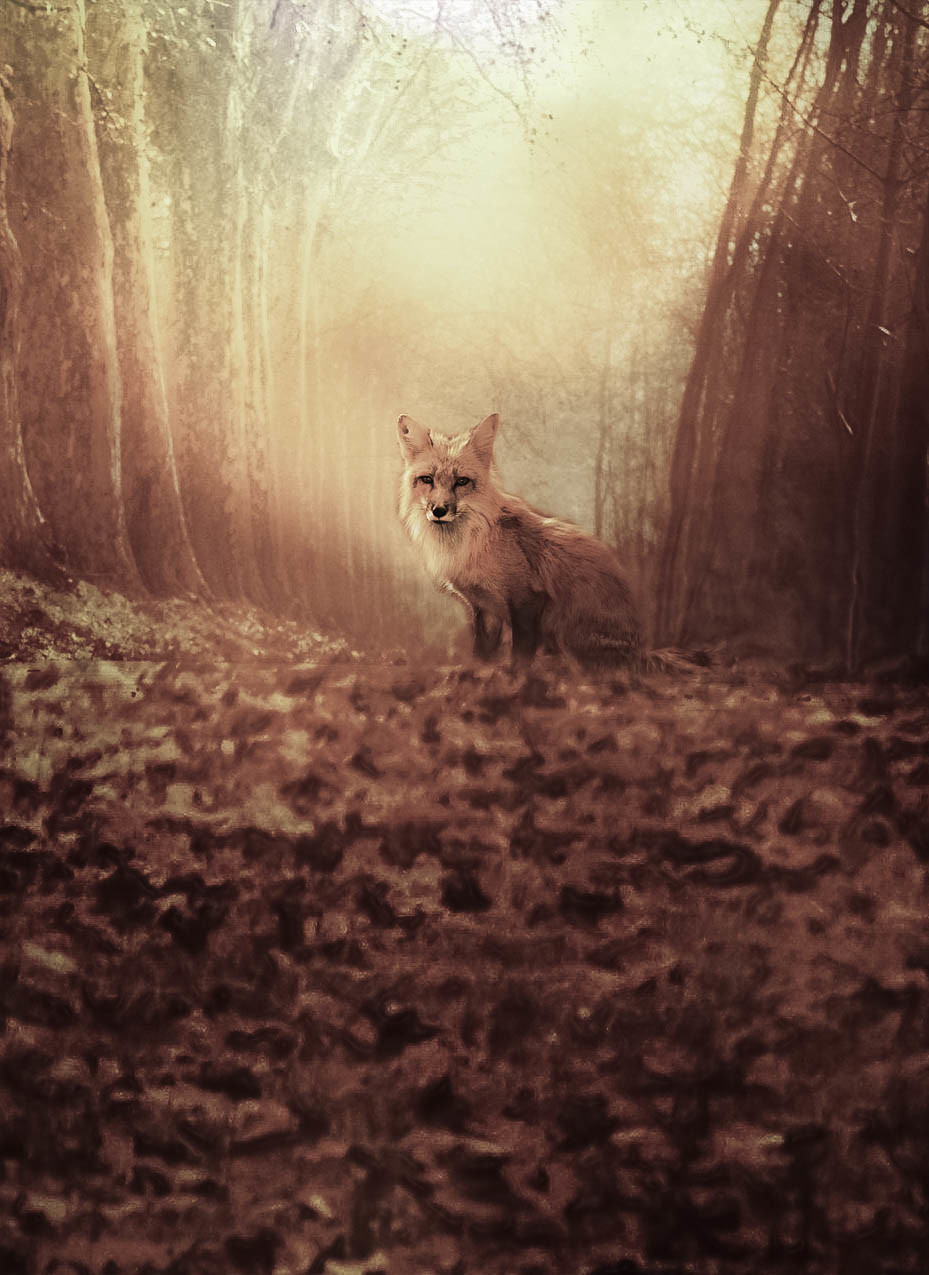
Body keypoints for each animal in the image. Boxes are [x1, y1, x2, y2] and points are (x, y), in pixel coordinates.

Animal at [396, 412, 642, 667]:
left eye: (461, 481)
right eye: (427, 479)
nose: (439, 510)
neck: (473, 544)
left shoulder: (528, 601)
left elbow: (520, 660)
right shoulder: (486, 609)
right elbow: (480, 657)